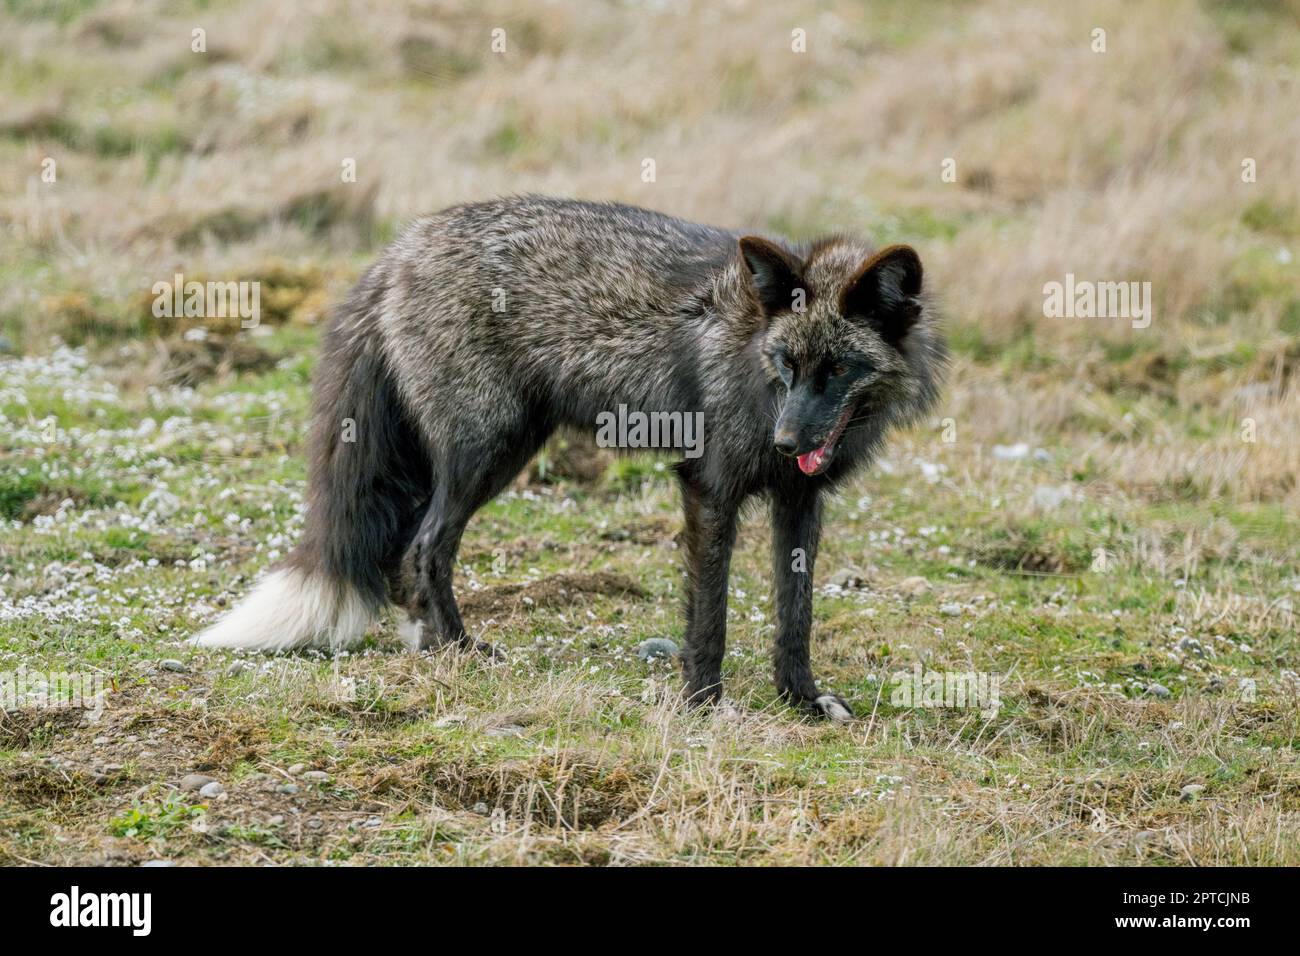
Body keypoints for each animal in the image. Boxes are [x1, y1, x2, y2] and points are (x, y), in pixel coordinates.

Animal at [194, 196, 945, 720]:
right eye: (786, 364)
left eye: (838, 369)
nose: (786, 443)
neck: (750, 357)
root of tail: (403, 246)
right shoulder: (708, 489)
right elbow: (710, 616)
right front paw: (703, 704)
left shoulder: (799, 502)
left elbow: (796, 616)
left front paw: (802, 699)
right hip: (485, 451)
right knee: (425, 547)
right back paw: (461, 650)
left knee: (413, 551)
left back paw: (434, 644)